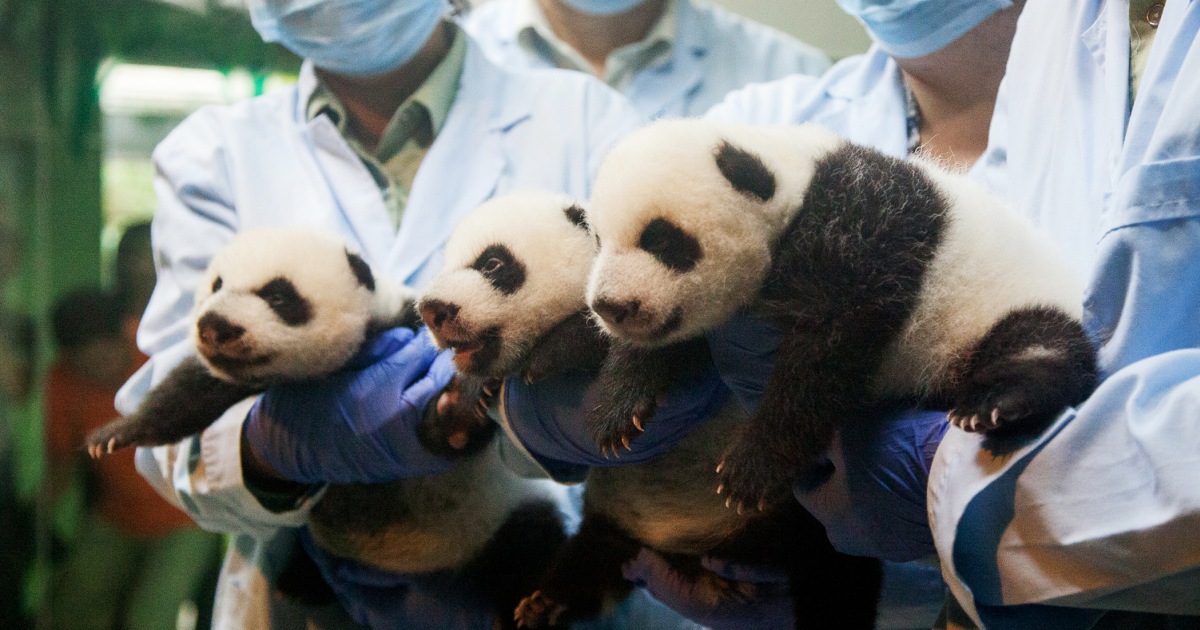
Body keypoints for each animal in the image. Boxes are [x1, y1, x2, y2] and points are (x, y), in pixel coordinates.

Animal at [86, 225, 569, 630]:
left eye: (279, 296)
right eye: (216, 285)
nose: (214, 326)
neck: (321, 372)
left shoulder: (402, 323)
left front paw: (459, 412)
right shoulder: (240, 380)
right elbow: (189, 392)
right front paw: (115, 434)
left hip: (498, 514)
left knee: (528, 543)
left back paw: (531, 604)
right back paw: (300, 582)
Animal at [418, 190, 884, 629]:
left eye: (493, 263)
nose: (432, 310)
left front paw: (550, 356)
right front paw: (460, 405)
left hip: (793, 520)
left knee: (835, 575)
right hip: (614, 521)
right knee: (589, 564)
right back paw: (544, 604)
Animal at [584, 118, 1099, 510]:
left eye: (663, 240)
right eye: (599, 239)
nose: (610, 306)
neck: (795, 186)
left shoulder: (860, 235)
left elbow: (827, 352)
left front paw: (752, 468)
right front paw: (619, 411)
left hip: (1012, 302)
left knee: (1040, 344)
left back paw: (994, 403)